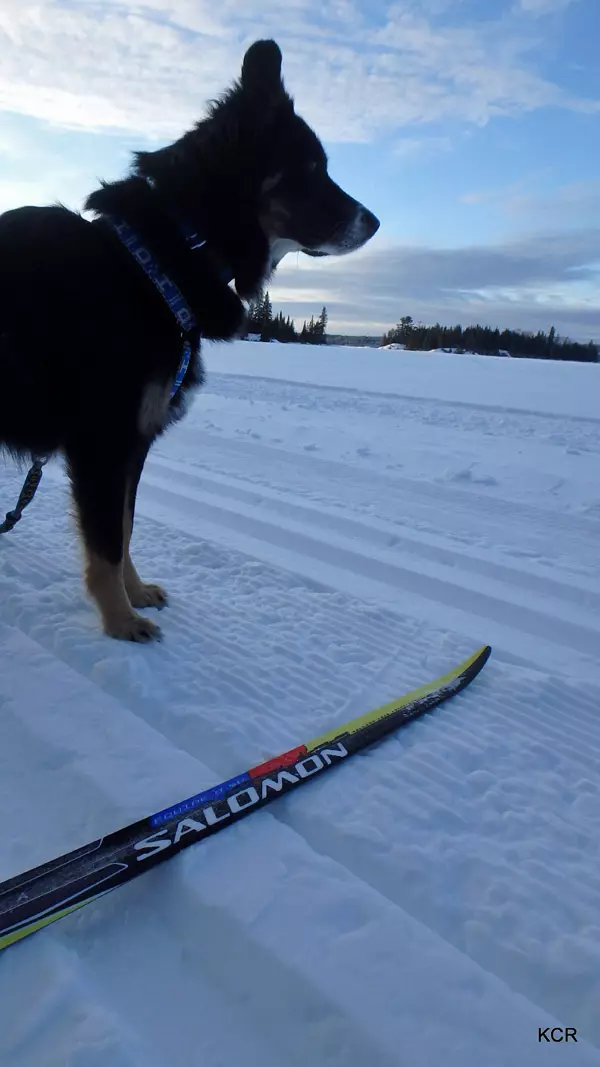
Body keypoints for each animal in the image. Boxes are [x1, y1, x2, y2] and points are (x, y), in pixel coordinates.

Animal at [0, 39, 377, 640]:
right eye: (312, 170)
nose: (376, 222)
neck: (164, 258)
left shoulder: (132, 444)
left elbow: (125, 529)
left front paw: (133, 595)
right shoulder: (102, 443)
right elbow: (107, 543)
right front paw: (119, 620)